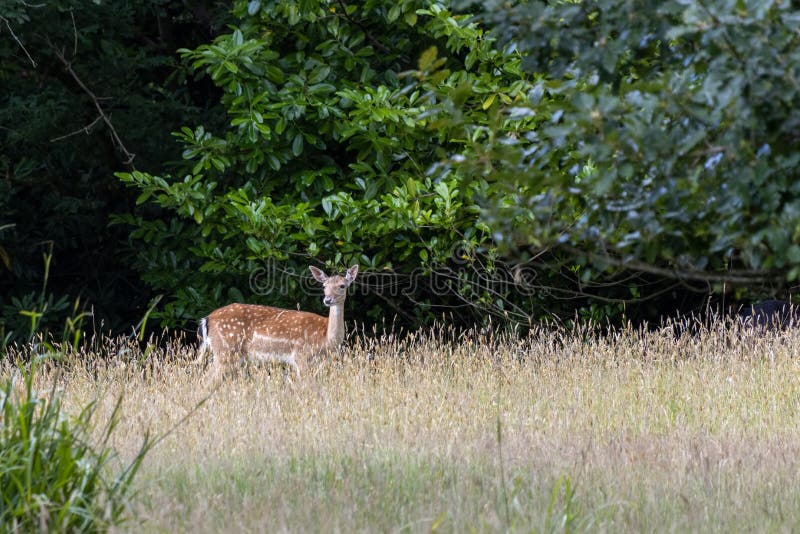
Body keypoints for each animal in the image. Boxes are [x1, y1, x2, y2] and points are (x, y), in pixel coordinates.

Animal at [195, 265, 359, 381]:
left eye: (342, 286)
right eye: (324, 286)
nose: (327, 300)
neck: (325, 338)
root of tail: (208, 318)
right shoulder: (300, 356)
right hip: (225, 350)